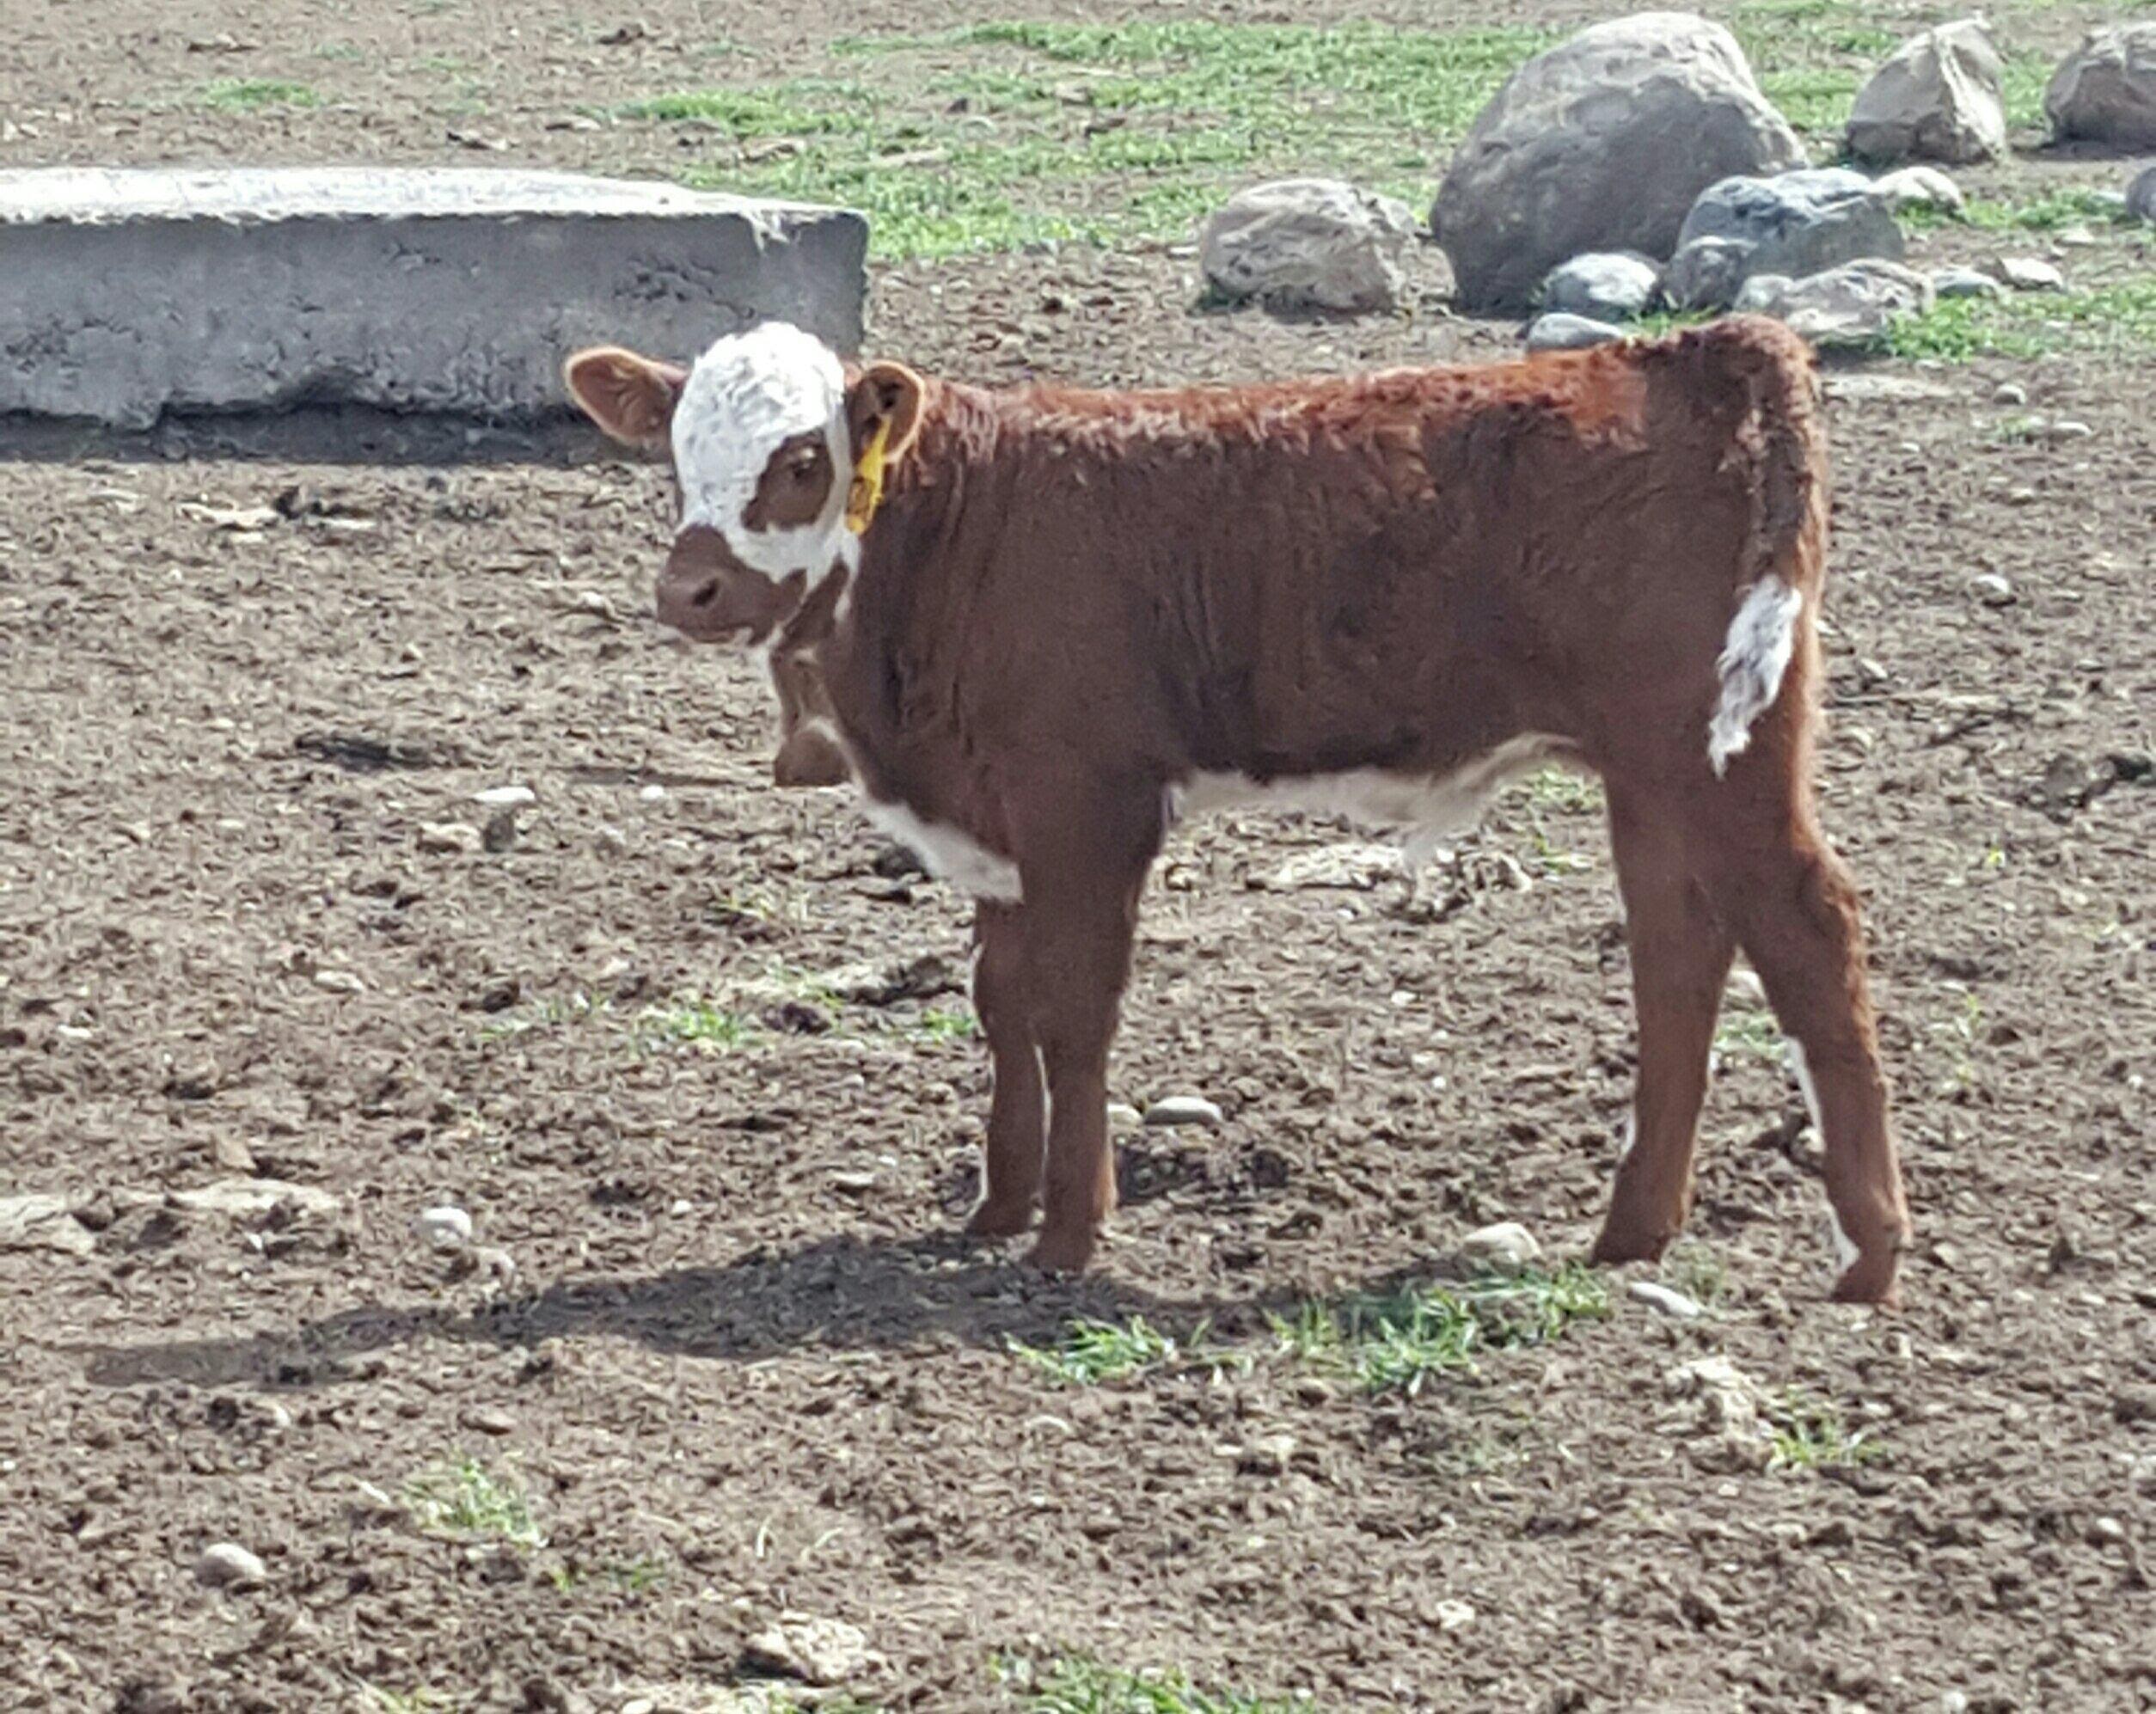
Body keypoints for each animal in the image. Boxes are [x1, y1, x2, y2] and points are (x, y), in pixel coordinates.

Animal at [563, 316, 1913, 1304]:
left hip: (1715, 758)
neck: (951, 534)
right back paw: (1634, 1232)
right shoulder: (998, 824)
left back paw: (1867, 1256)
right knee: (1681, 960)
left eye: (801, 462)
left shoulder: (1088, 803)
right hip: (1659, 774)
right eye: (676, 456)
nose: (690, 589)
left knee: (1810, 933)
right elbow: (1002, 1002)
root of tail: (1699, 345)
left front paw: (1067, 1235)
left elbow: (1073, 1012)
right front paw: (996, 1205)